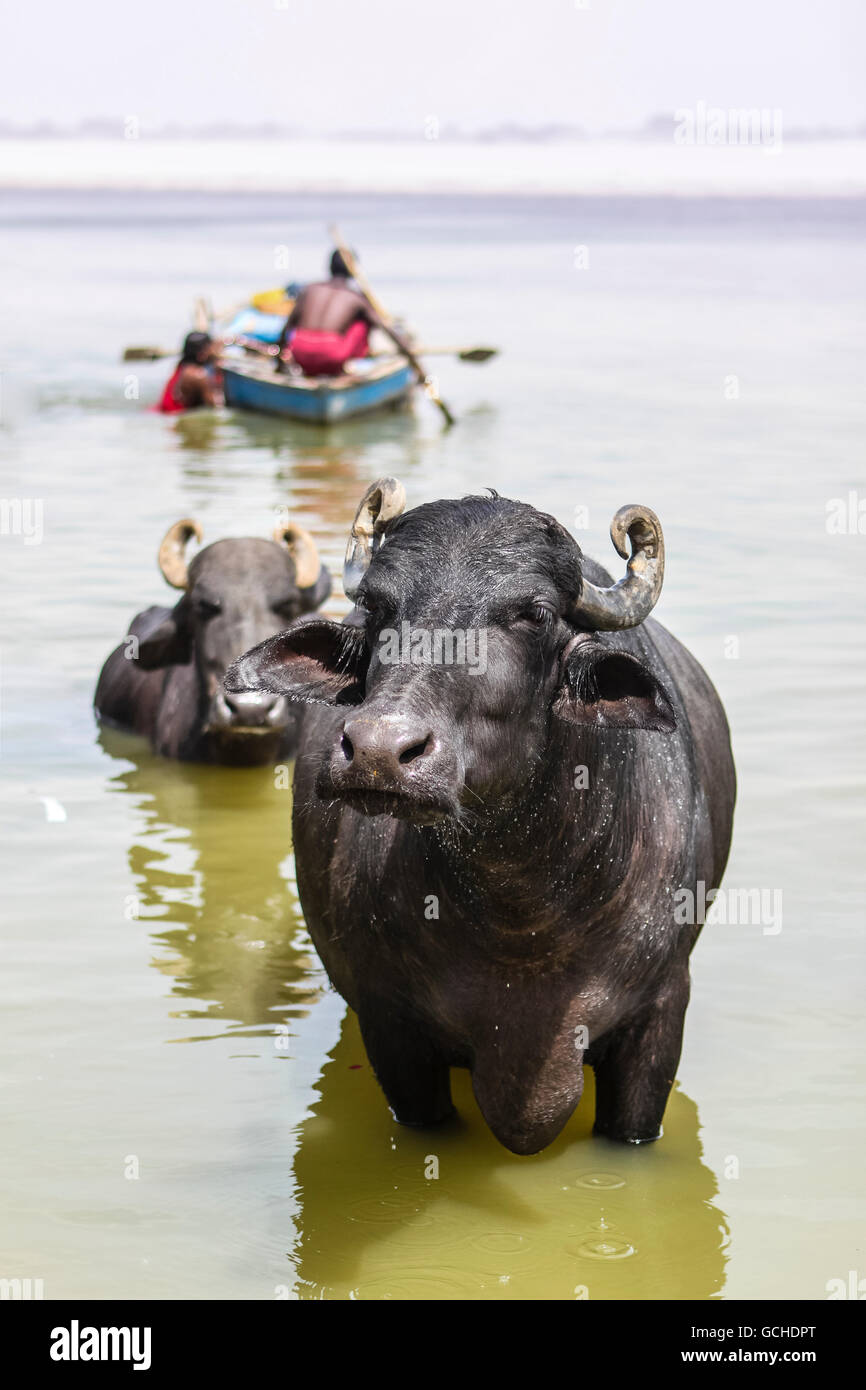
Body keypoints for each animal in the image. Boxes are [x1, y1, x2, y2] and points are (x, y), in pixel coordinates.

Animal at [227, 479, 736, 1153]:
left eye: (533, 614)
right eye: (377, 608)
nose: (379, 751)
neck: (522, 919)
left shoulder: (658, 1019)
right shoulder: (392, 1030)